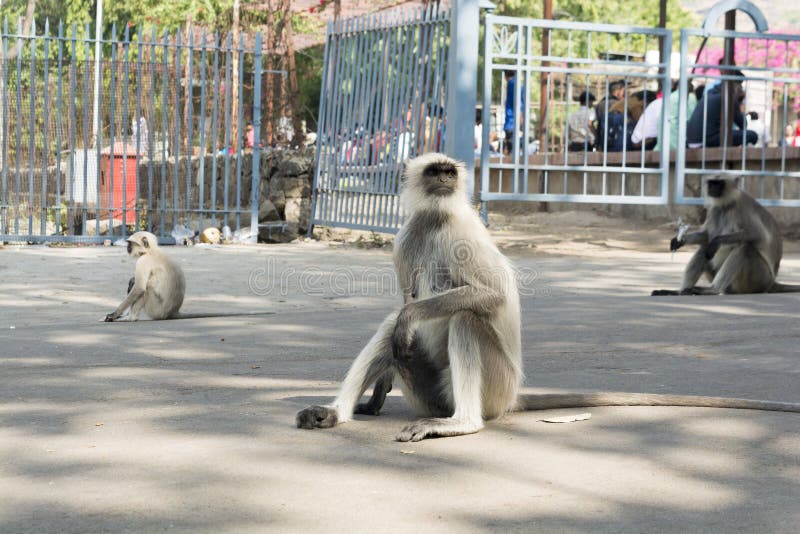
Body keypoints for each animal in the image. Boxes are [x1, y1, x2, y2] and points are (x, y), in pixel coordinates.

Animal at [103, 230, 274, 322]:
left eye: (130, 243)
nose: (127, 247)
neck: (153, 251)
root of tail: (173, 312)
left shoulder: (143, 261)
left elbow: (139, 288)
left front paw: (113, 314)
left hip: (156, 309)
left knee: (145, 288)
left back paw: (130, 317)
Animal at [652, 175, 800, 296]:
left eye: (719, 184)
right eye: (712, 183)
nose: (712, 188)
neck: (726, 204)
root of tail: (772, 283)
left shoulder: (740, 208)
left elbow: (756, 235)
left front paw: (717, 241)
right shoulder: (715, 209)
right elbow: (707, 236)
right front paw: (679, 240)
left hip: (759, 279)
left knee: (745, 248)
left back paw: (712, 290)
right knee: (704, 249)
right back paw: (680, 291)